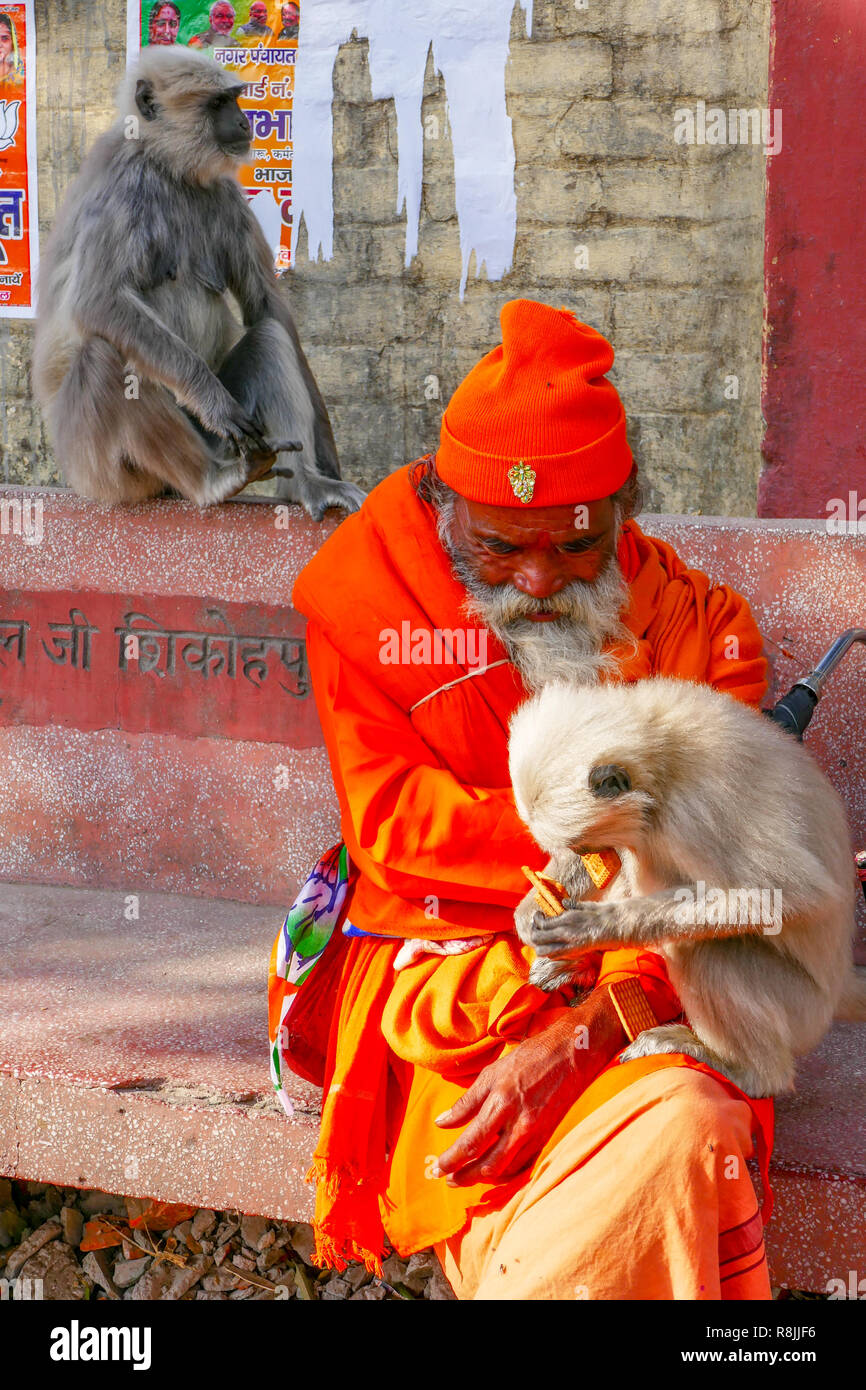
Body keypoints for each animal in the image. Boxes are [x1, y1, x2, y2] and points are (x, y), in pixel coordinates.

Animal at [33, 46, 366, 520]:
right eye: (218, 103)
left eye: (234, 100)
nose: (245, 122)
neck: (166, 166)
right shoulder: (123, 185)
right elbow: (99, 302)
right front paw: (216, 403)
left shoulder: (226, 193)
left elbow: (266, 308)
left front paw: (325, 452)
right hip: (99, 469)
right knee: (103, 356)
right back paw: (211, 481)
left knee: (268, 336)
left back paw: (304, 483)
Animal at [508, 676, 866, 1097]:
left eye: (584, 846)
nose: (589, 853)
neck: (664, 746)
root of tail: (840, 985)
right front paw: (533, 913)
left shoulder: (694, 811)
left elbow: (788, 897)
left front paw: (592, 930)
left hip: (802, 1009)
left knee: (704, 949)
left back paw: (751, 1073)